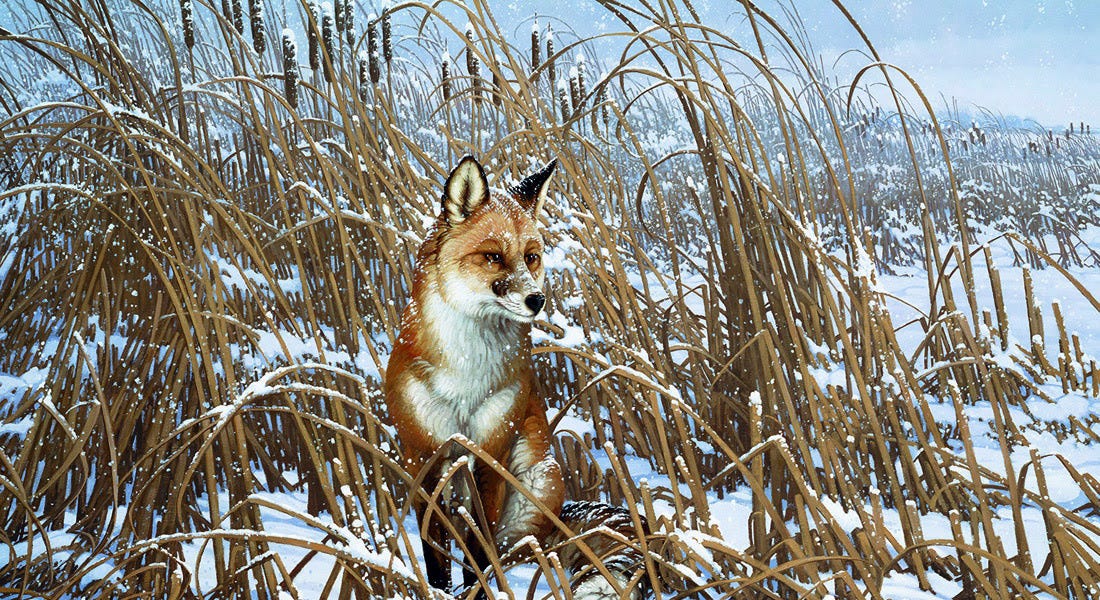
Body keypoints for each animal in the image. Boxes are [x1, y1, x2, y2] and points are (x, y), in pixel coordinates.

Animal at [383, 156, 648, 599]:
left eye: (531, 257)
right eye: (492, 256)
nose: (536, 300)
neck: (465, 374)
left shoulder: (492, 455)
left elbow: (480, 546)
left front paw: (475, 590)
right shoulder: (423, 456)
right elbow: (434, 549)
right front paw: (439, 590)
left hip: (537, 483)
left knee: (515, 551)